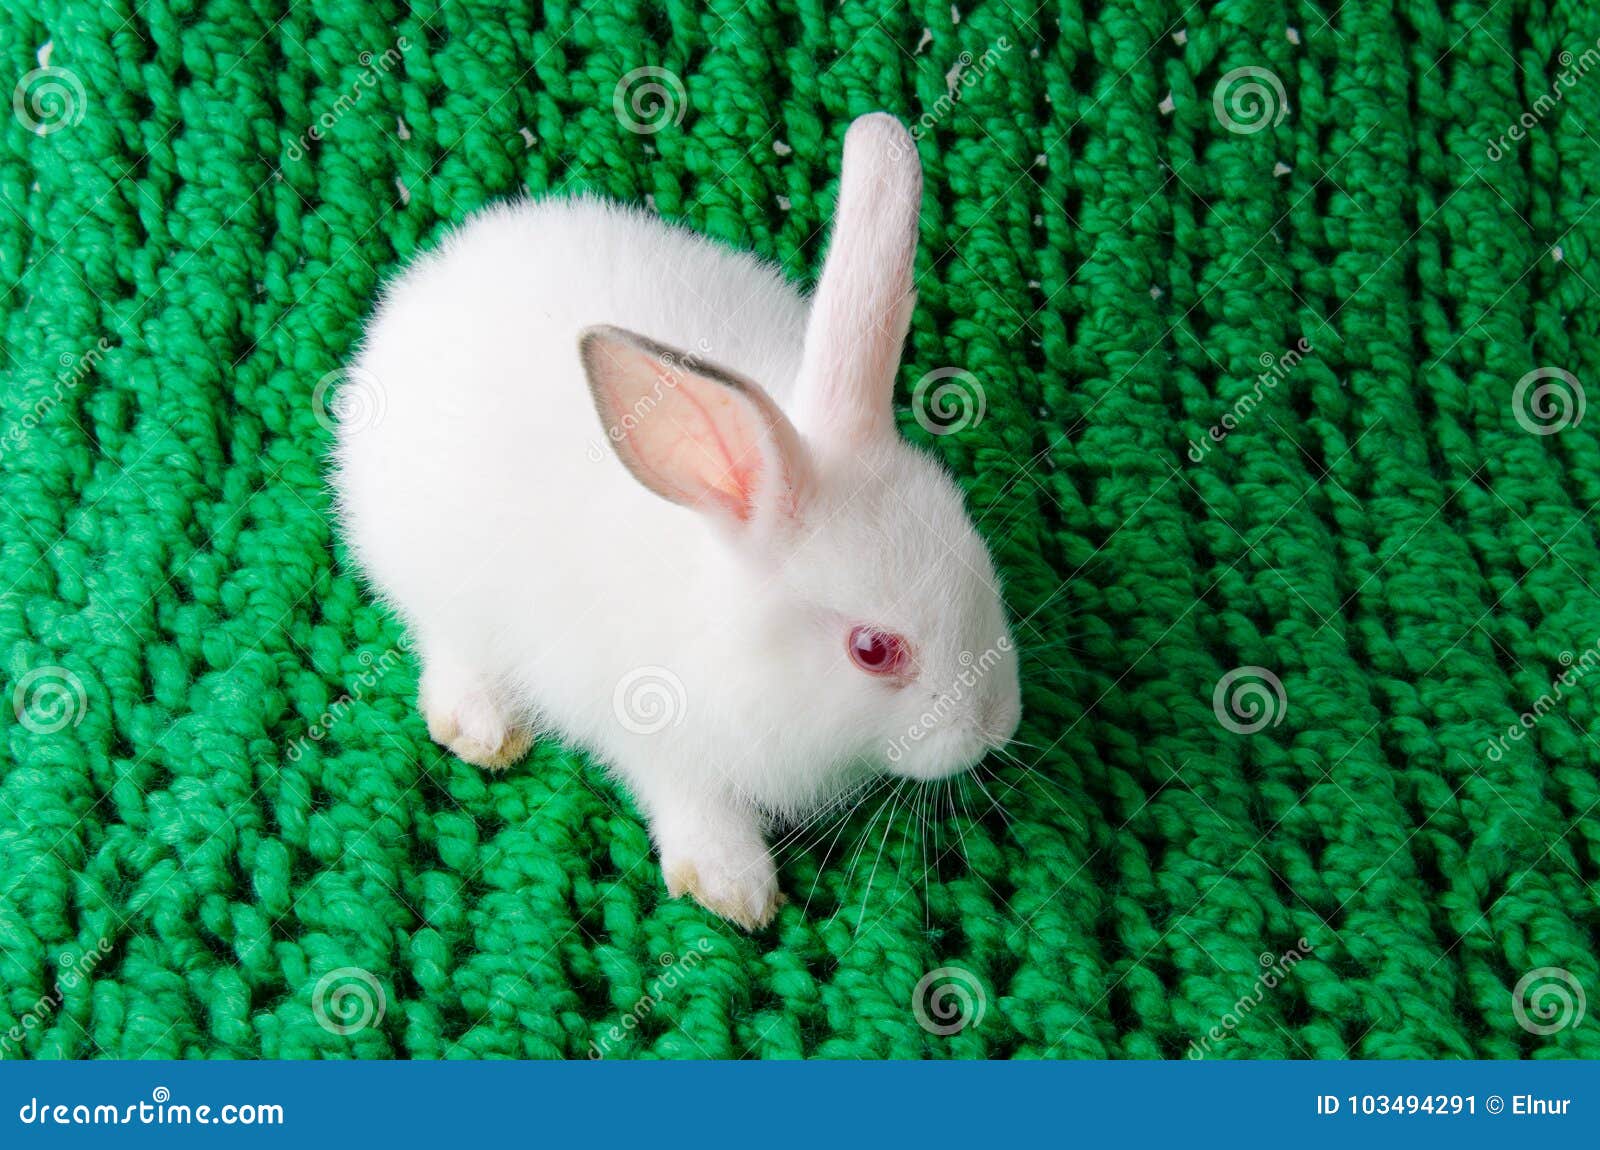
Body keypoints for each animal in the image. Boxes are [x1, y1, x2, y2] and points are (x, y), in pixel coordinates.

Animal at [332, 113, 1022, 930]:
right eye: (872, 651)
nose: (996, 727)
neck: (723, 626)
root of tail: (427, 282)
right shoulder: (657, 739)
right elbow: (694, 804)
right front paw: (733, 888)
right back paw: (482, 726)